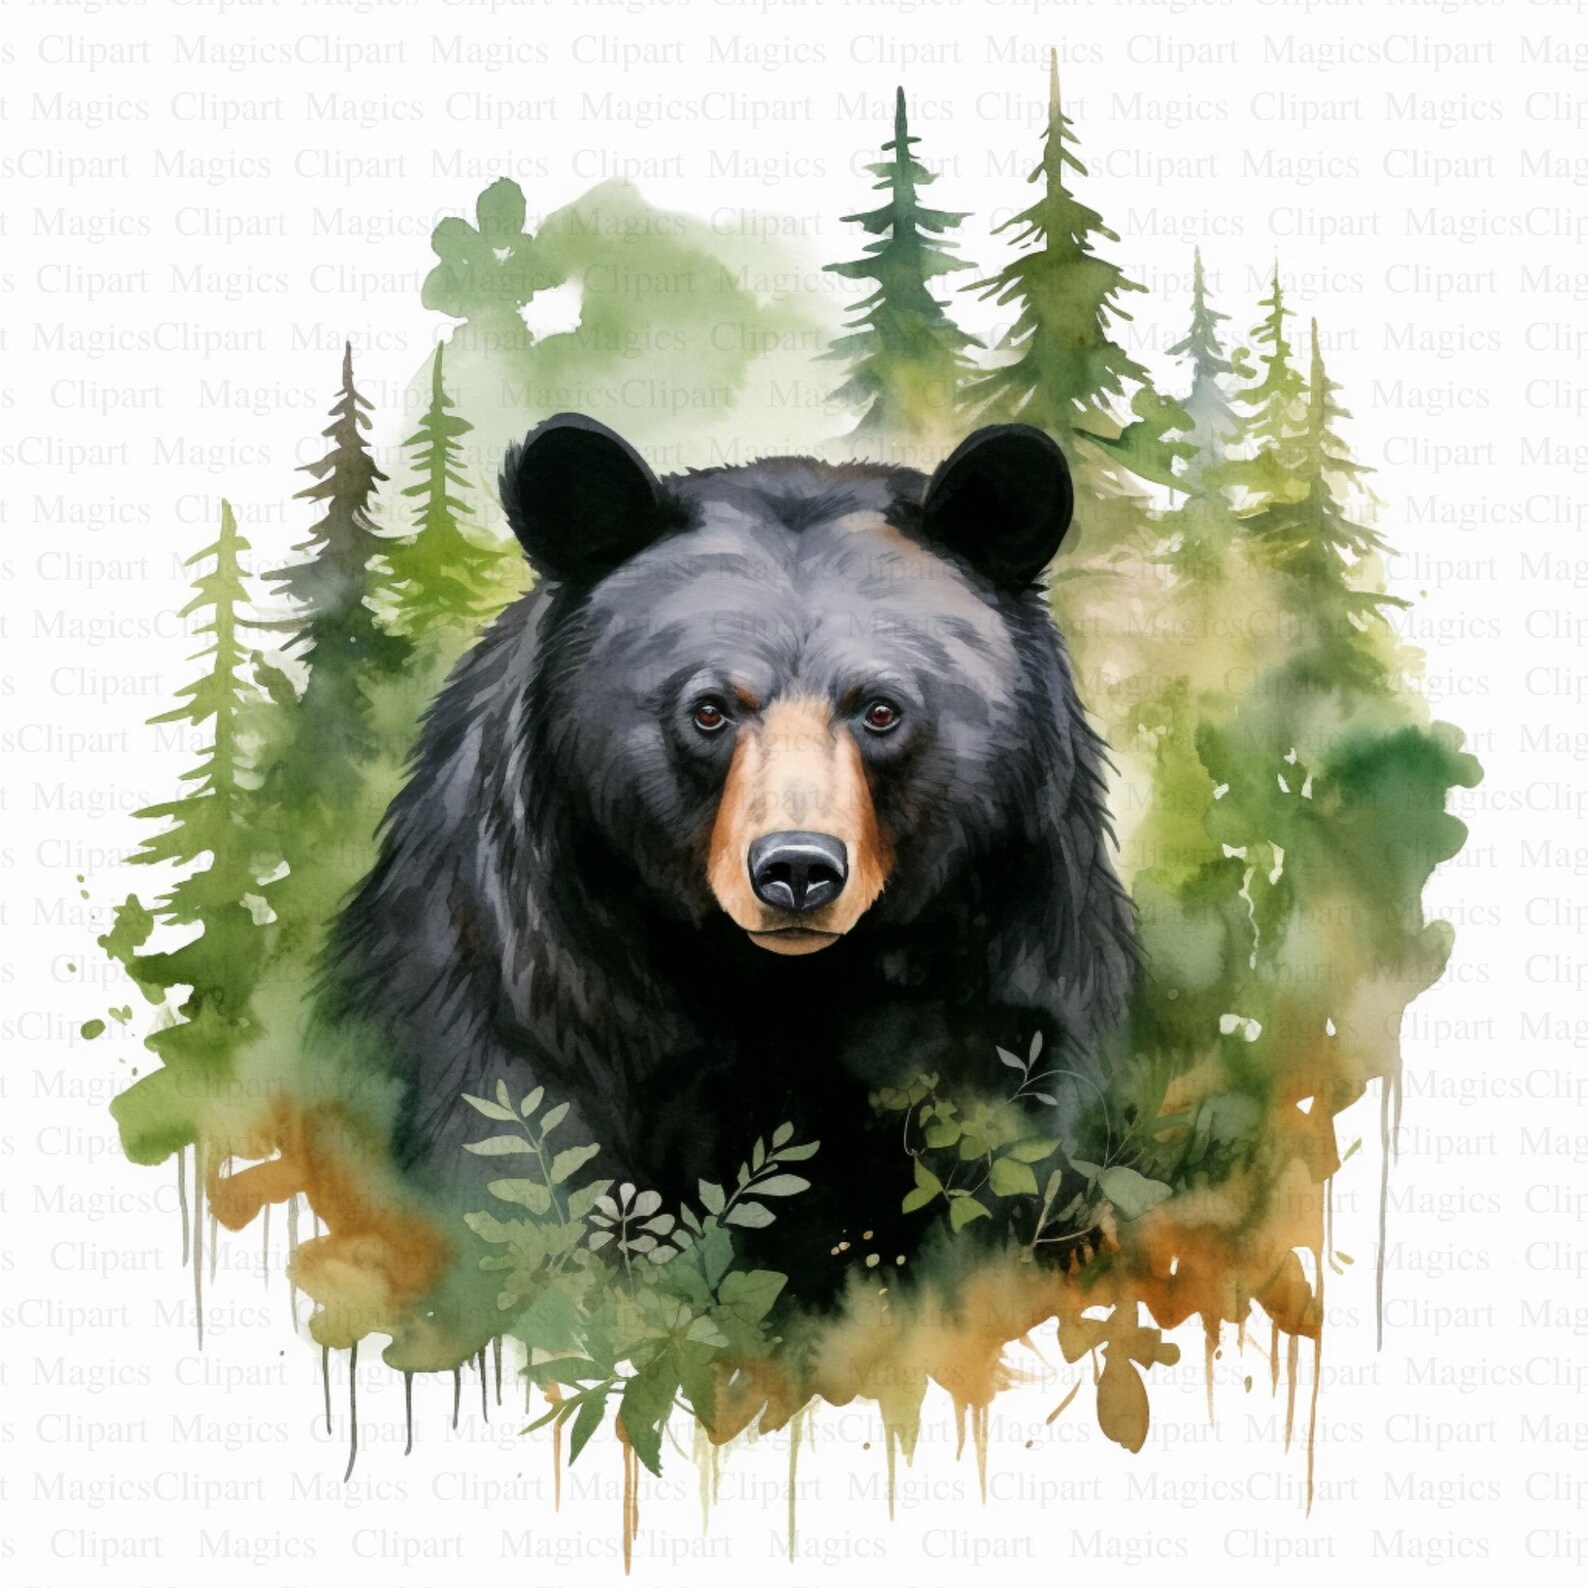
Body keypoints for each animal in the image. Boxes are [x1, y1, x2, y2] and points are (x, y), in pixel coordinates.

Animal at [322, 414, 1136, 1310]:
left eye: (880, 710)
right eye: (709, 710)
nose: (798, 870)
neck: (780, 992)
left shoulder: (1010, 971)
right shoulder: (528, 998)